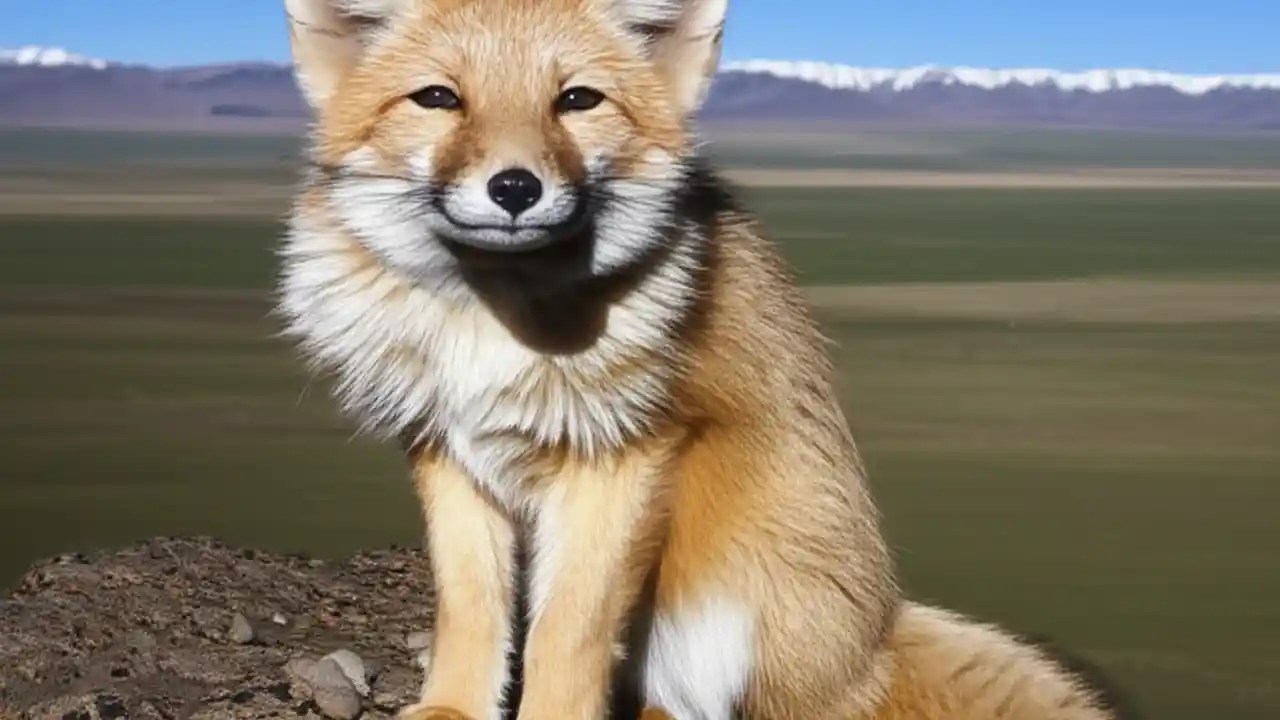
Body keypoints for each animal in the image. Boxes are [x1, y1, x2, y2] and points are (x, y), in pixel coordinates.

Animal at [277, 0, 1115, 718]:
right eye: (439, 98)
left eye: (576, 100)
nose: (515, 188)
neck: (493, 321)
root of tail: (874, 642)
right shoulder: (448, 449)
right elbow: (473, 608)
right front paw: (450, 706)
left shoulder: (620, 457)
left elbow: (567, 631)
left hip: (728, 604)